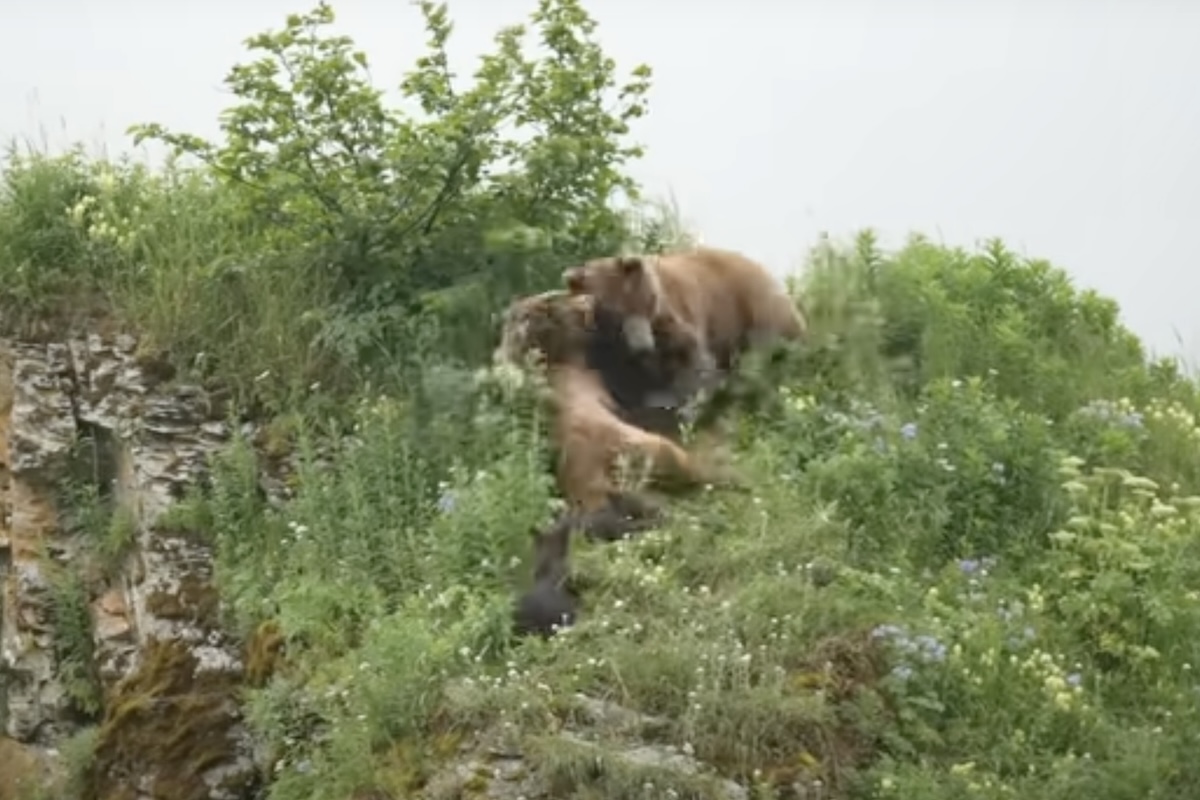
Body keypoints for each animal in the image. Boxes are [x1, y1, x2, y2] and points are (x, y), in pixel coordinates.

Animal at [562, 246, 808, 414]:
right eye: (616, 313)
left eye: (646, 305)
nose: (643, 346)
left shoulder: (671, 314)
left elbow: (690, 354)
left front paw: (685, 402)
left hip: (754, 307)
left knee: (764, 349)